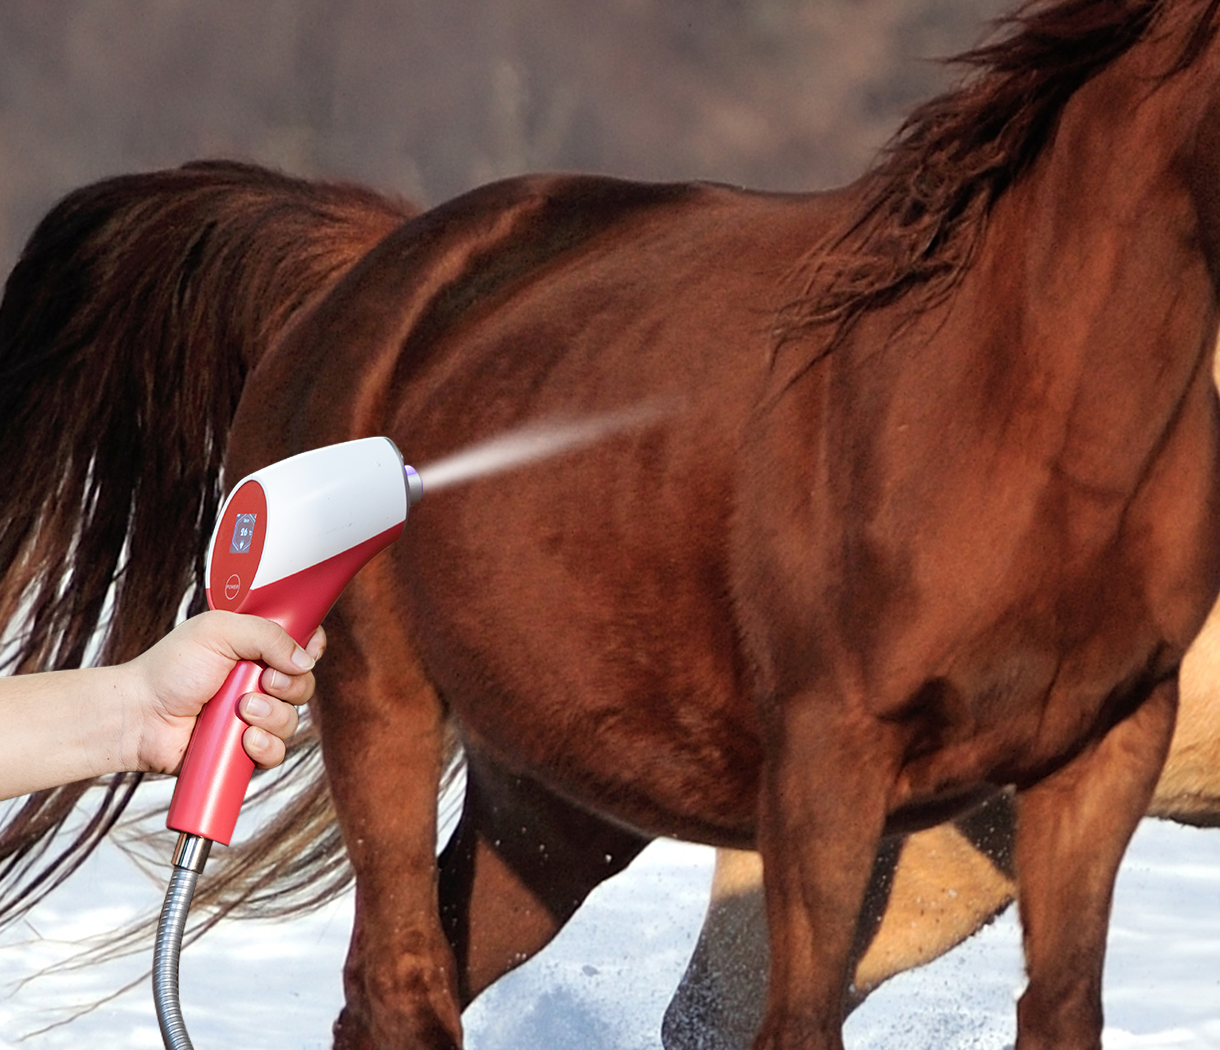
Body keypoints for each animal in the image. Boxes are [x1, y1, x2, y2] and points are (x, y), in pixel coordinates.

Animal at [3, 1, 1220, 1048]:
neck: (1012, 413)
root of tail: (370, 270)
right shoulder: (829, 763)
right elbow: (797, 1021)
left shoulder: (1098, 757)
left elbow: (1060, 1015)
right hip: (380, 698)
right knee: (403, 989)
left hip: (552, 802)